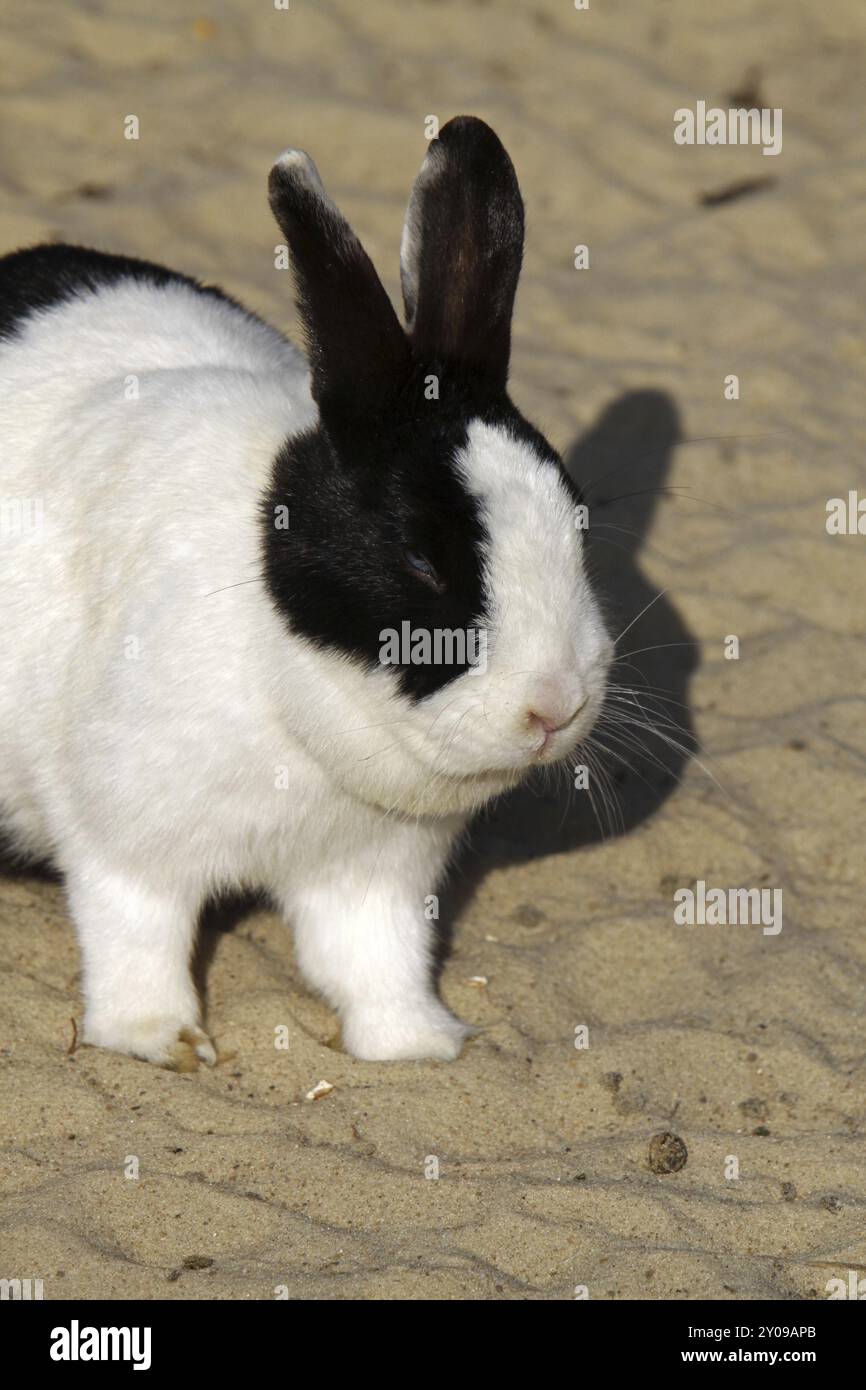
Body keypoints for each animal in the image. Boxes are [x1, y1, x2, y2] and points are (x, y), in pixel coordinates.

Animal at [0, 116, 612, 1066]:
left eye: (576, 520)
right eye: (422, 562)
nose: (555, 705)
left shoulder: (374, 876)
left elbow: (373, 960)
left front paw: (420, 1044)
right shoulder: (125, 840)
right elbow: (136, 936)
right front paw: (164, 1041)